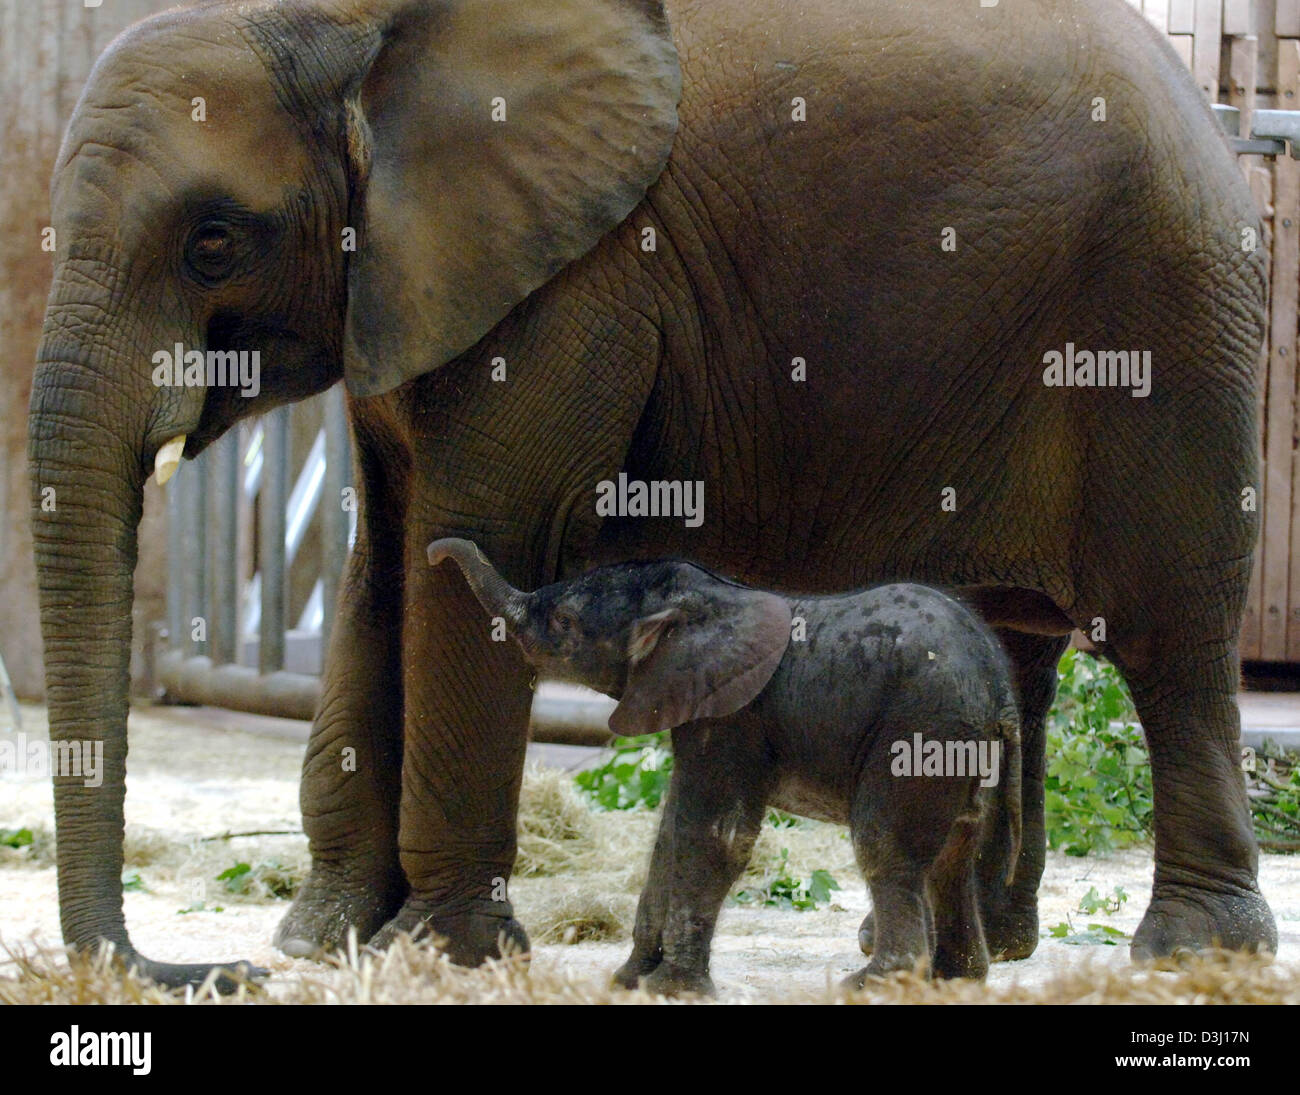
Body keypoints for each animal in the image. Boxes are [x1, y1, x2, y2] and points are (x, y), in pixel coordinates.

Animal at [427, 538, 1024, 994]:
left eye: (565, 621)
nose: (433, 553)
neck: (705, 595)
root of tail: (1001, 693)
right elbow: (671, 832)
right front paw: (629, 982)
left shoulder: (735, 714)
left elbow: (713, 833)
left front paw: (673, 989)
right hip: (959, 743)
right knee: (953, 856)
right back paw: (955, 982)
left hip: (920, 729)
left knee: (887, 847)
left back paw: (871, 985)